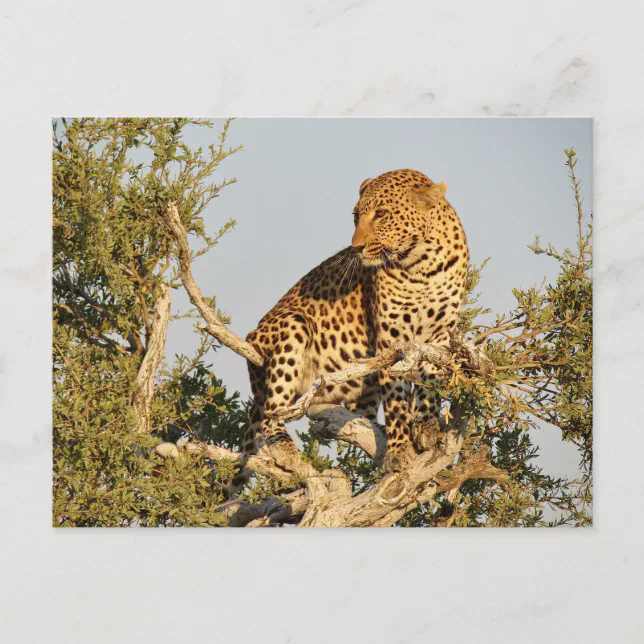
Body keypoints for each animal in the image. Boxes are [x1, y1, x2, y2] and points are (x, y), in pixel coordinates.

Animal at [243, 168, 469, 472]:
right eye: (355, 216)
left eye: (381, 213)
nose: (357, 247)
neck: (422, 265)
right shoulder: (391, 339)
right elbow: (396, 399)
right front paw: (399, 450)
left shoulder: (441, 334)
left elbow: (429, 382)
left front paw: (426, 425)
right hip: (291, 326)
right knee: (272, 412)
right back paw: (284, 446)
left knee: (360, 413)